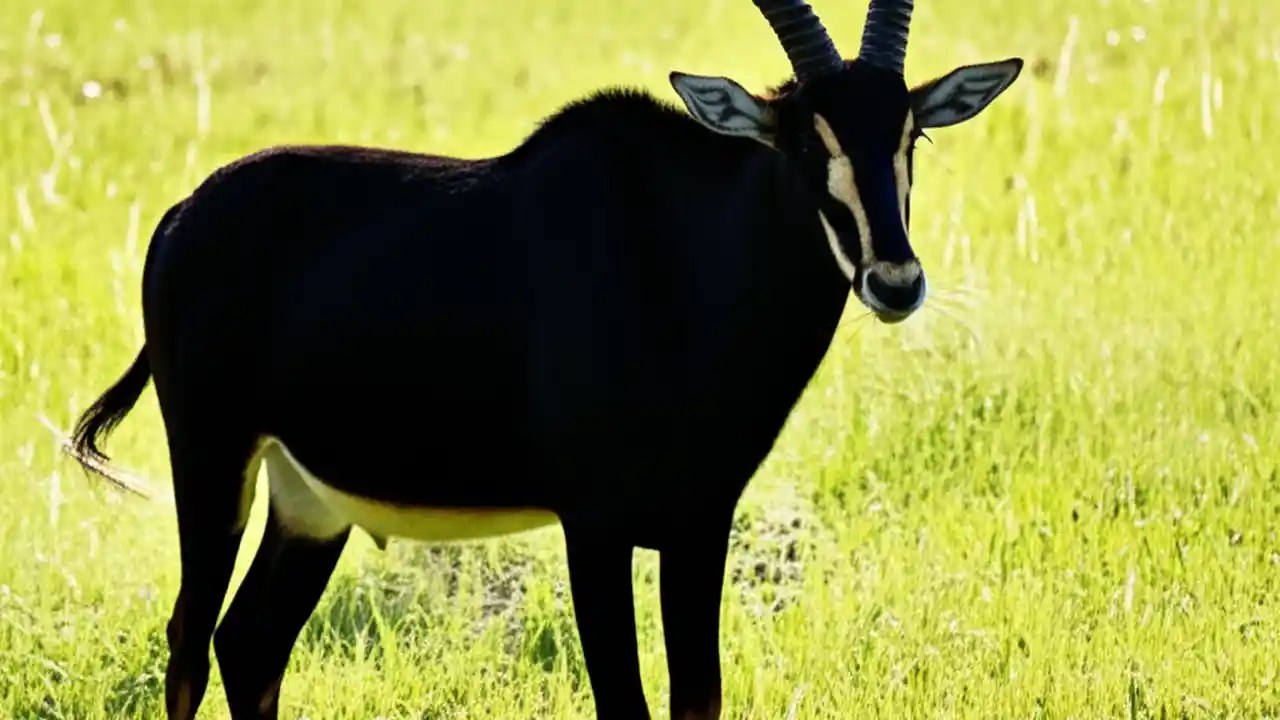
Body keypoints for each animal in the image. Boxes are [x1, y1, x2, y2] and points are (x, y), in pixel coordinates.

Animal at [66, 0, 1022, 717]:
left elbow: (697, 700)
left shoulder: (700, 522)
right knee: (191, 641)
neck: (679, 256)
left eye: (911, 136)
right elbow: (625, 704)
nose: (894, 280)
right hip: (213, 459)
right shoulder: (593, 524)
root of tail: (182, 217)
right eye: (800, 140)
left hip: (309, 502)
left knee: (250, 642)